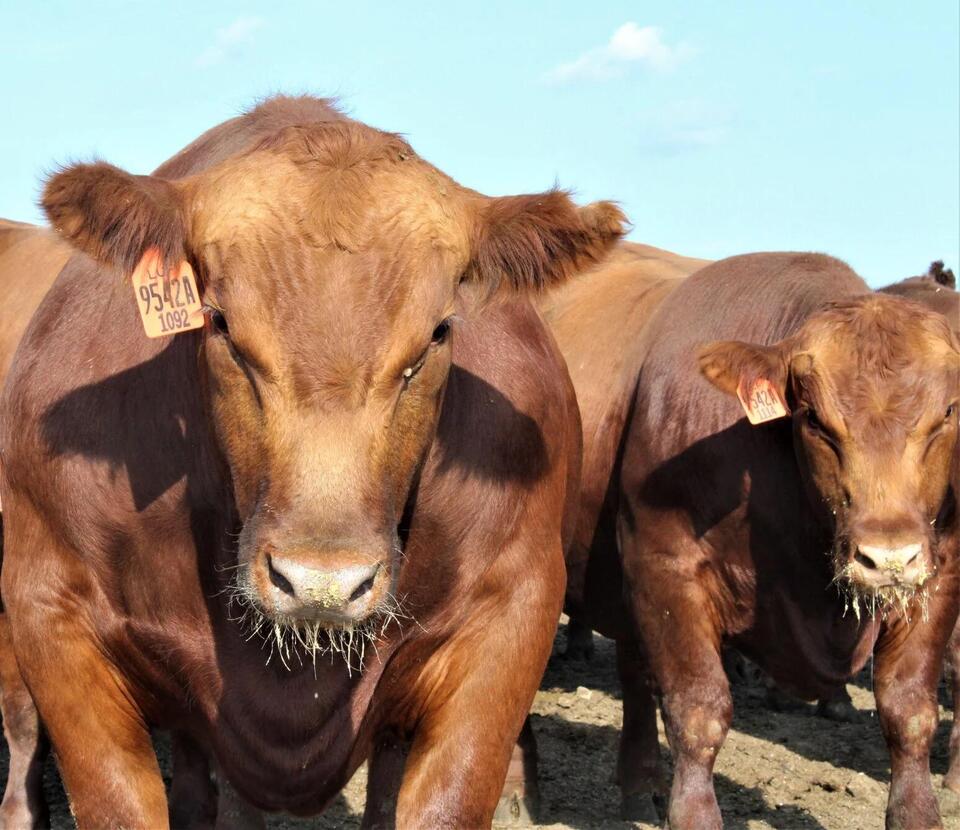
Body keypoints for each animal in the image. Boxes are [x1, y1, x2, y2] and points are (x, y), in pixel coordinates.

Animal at [542, 251, 959, 828]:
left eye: (948, 413)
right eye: (814, 419)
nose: (887, 557)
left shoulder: (939, 578)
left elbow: (910, 710)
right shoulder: (665, 567)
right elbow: (698, 711)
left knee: (634, 672)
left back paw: (641, 784)